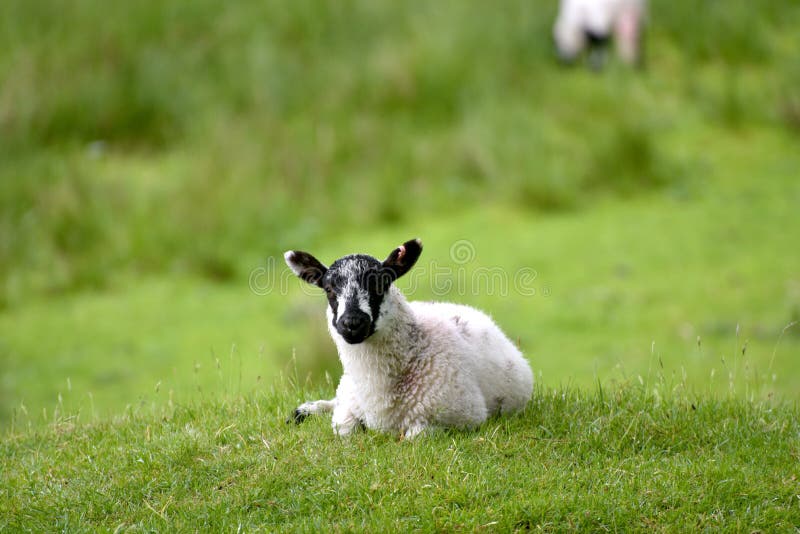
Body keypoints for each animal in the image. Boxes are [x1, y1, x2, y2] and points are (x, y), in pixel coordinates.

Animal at [284, 238, 534, 439]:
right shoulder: (349, 408)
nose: (352, 323)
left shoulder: (463, 417)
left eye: (381, 283)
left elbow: (414, 435)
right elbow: (343, 428)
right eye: (328, 289)